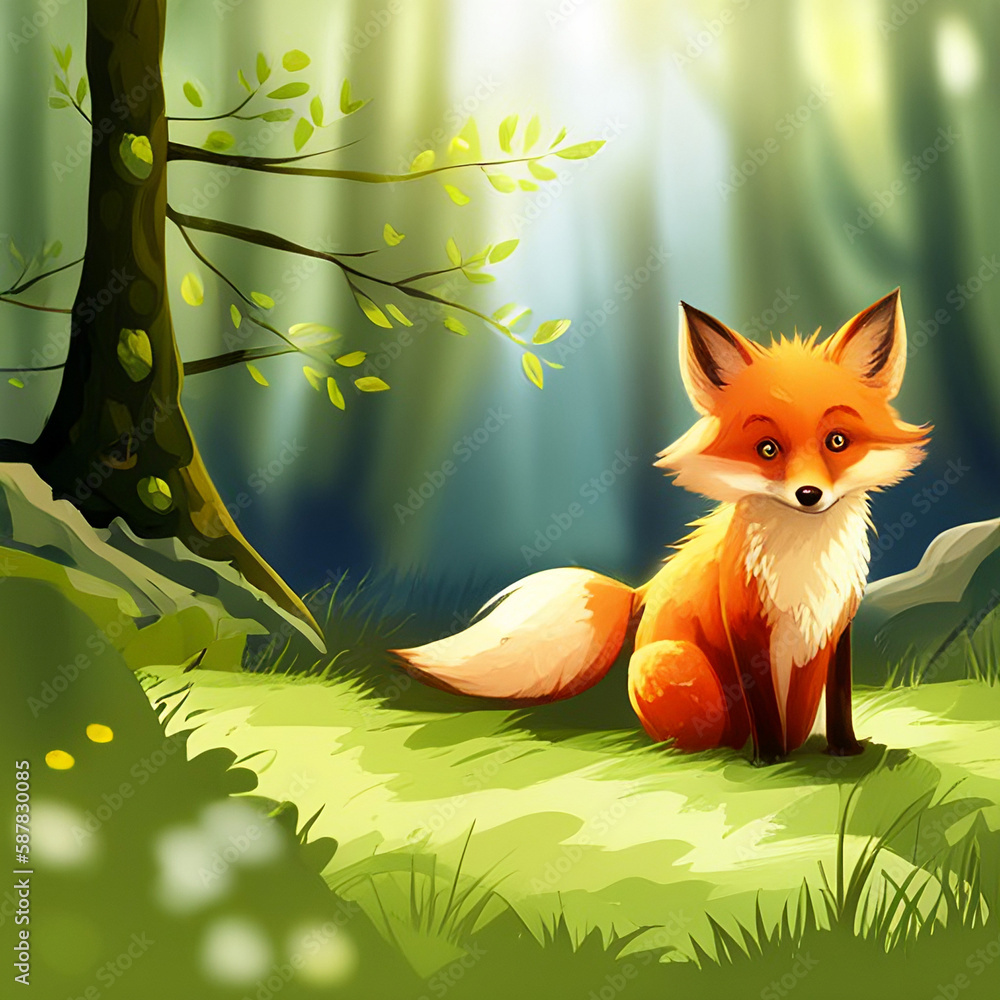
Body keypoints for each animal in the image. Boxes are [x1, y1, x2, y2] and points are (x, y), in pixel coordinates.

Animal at [393, 289, 930, 764]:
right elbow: (762, 705)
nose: (809, 495)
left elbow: (840, 701)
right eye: (767, 449)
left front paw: (845, 750)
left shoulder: (837, 623)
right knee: (706, 738)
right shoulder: (743, 623)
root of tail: (640, 592)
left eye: (837, 441)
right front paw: (771, 759)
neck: (803, 559)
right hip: (674, 664)